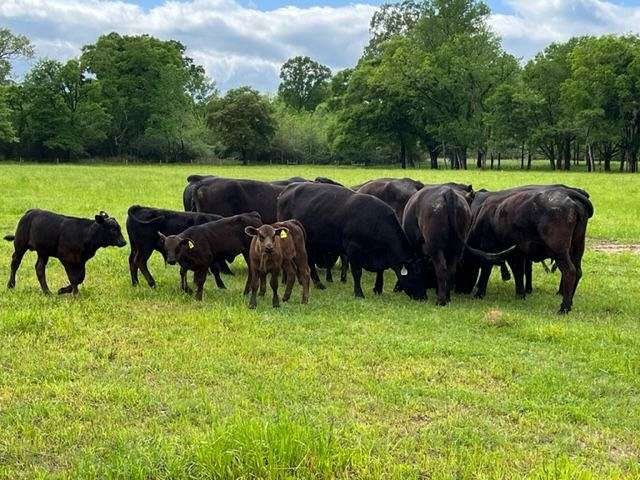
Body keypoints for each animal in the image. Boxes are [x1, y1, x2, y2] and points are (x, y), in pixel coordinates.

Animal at [277, 182, 426, 299]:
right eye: (416, 273)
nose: (423, 297)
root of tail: (287, 189)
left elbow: (380, 271)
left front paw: (378, 288)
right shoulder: (353, 249)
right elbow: (357, 272)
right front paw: (359, 293)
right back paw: (317, 283)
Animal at [456, 185, 593, 313]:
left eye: (460, 265)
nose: (460, 290)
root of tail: (568, 194)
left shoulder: (490, 248)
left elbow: (486, 271)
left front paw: (479, 294)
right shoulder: (515, 252)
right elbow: (519, 272)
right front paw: (520, 294)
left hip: (559, 250)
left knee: (570, 272)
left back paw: (564, 307)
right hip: (577, 246)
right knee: (578, 271)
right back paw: (570, 302)